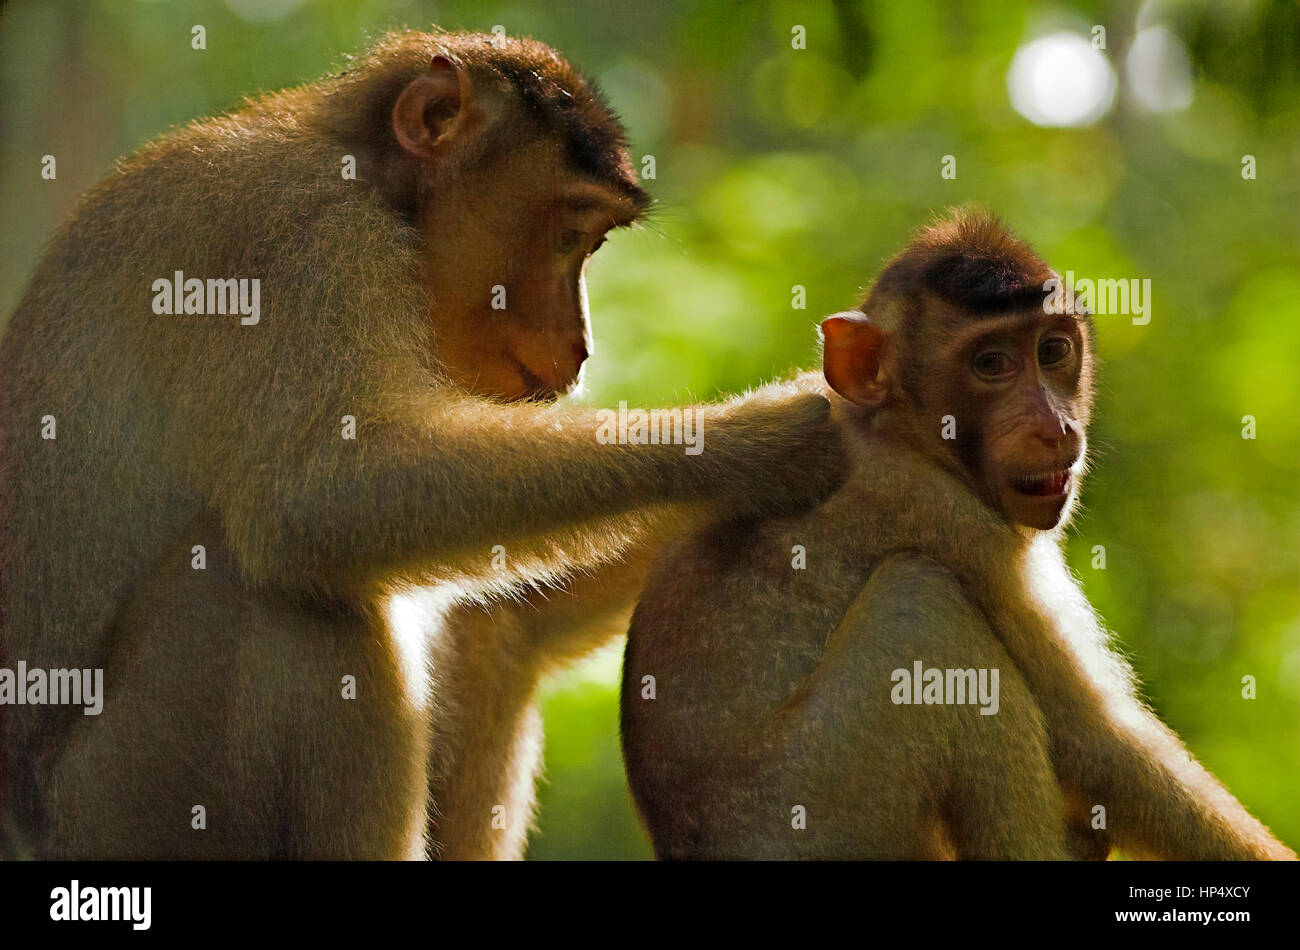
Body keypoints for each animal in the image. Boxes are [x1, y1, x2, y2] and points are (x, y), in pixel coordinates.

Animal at [0, 29, 844, 859]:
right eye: (571, 232)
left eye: (594, 241)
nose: (581, 348)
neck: (372, 174)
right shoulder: (310, 236)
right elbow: (318, 492)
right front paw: (751, 442)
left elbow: (526, 610)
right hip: (128, 801)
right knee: (276, 595)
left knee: (484, 623)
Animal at [620, 207, 1296, 861]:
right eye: (990, 363)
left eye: (1053, 350)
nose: (1055, 428)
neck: (897, 428)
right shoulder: (945, 513)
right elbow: (1101, 742)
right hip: (814, 811)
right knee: (924, 607)